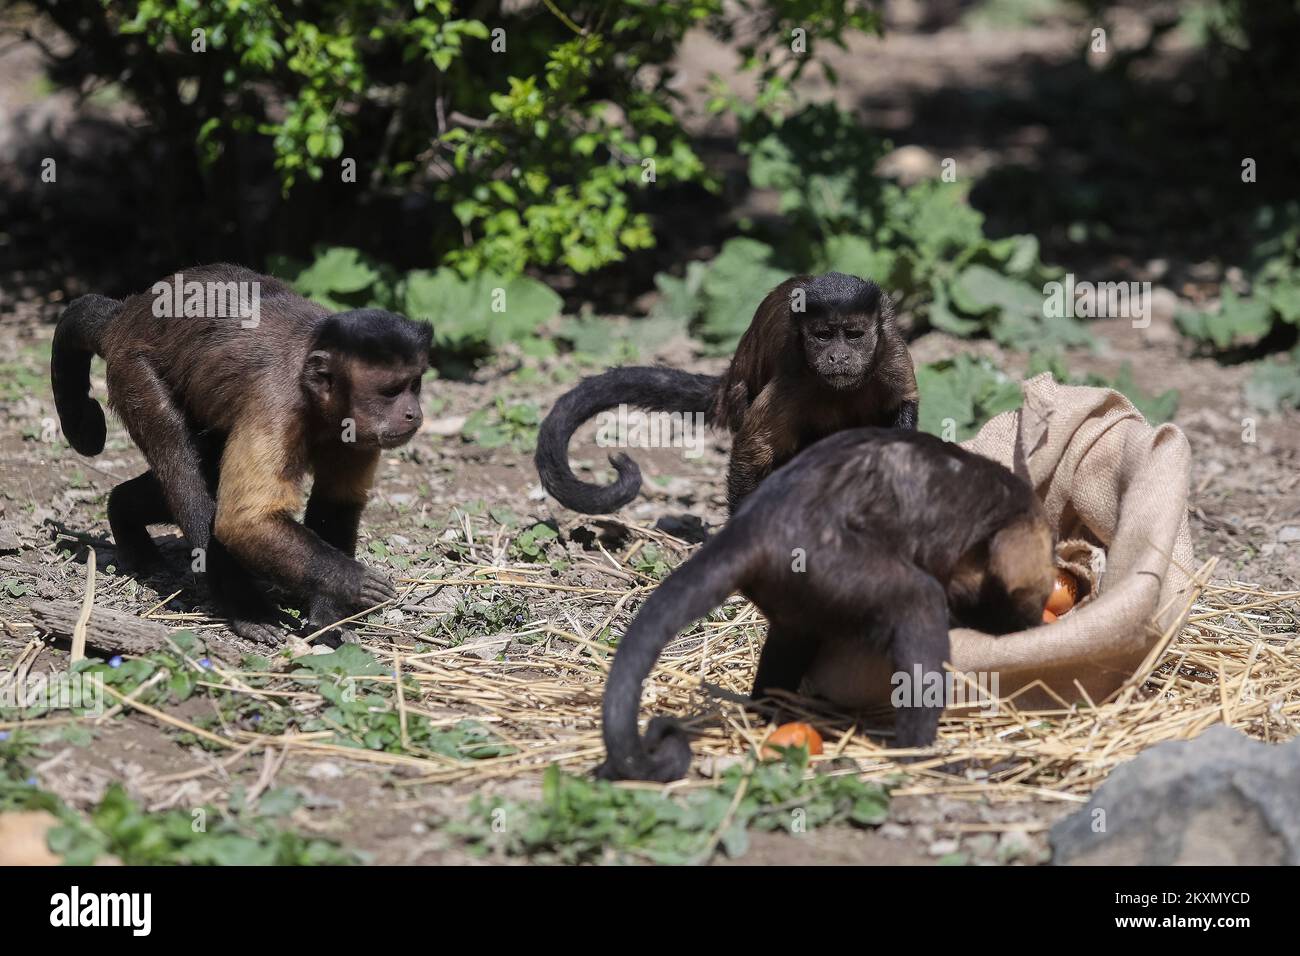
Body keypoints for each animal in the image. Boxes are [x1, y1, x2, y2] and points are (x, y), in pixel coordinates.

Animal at [50, 264, 431, 645]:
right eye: (390, 392)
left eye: (414, 386)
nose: (413, 413)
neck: (315, 399)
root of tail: (127, 313)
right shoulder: (274, 403)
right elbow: (243, 521)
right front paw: (353, 582)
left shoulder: (356, 432)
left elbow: (336, 503)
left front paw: (329, 617)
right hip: (134, 368)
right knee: (184, 472)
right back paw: (247, 610)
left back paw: (123, 513)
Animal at [535, 272, 918, 515]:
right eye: (823, 336)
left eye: (853, 335)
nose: (838, 356)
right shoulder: (794, 376)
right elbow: (752, 452)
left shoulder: (892, 353)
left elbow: (904, 407)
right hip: (739, 398)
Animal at [594, 427, 1056, 782]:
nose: (1026, 624)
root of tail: (754, 528)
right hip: (854, 574)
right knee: (919, 619)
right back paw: (936, 759)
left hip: (797, 611)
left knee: (775, 671)